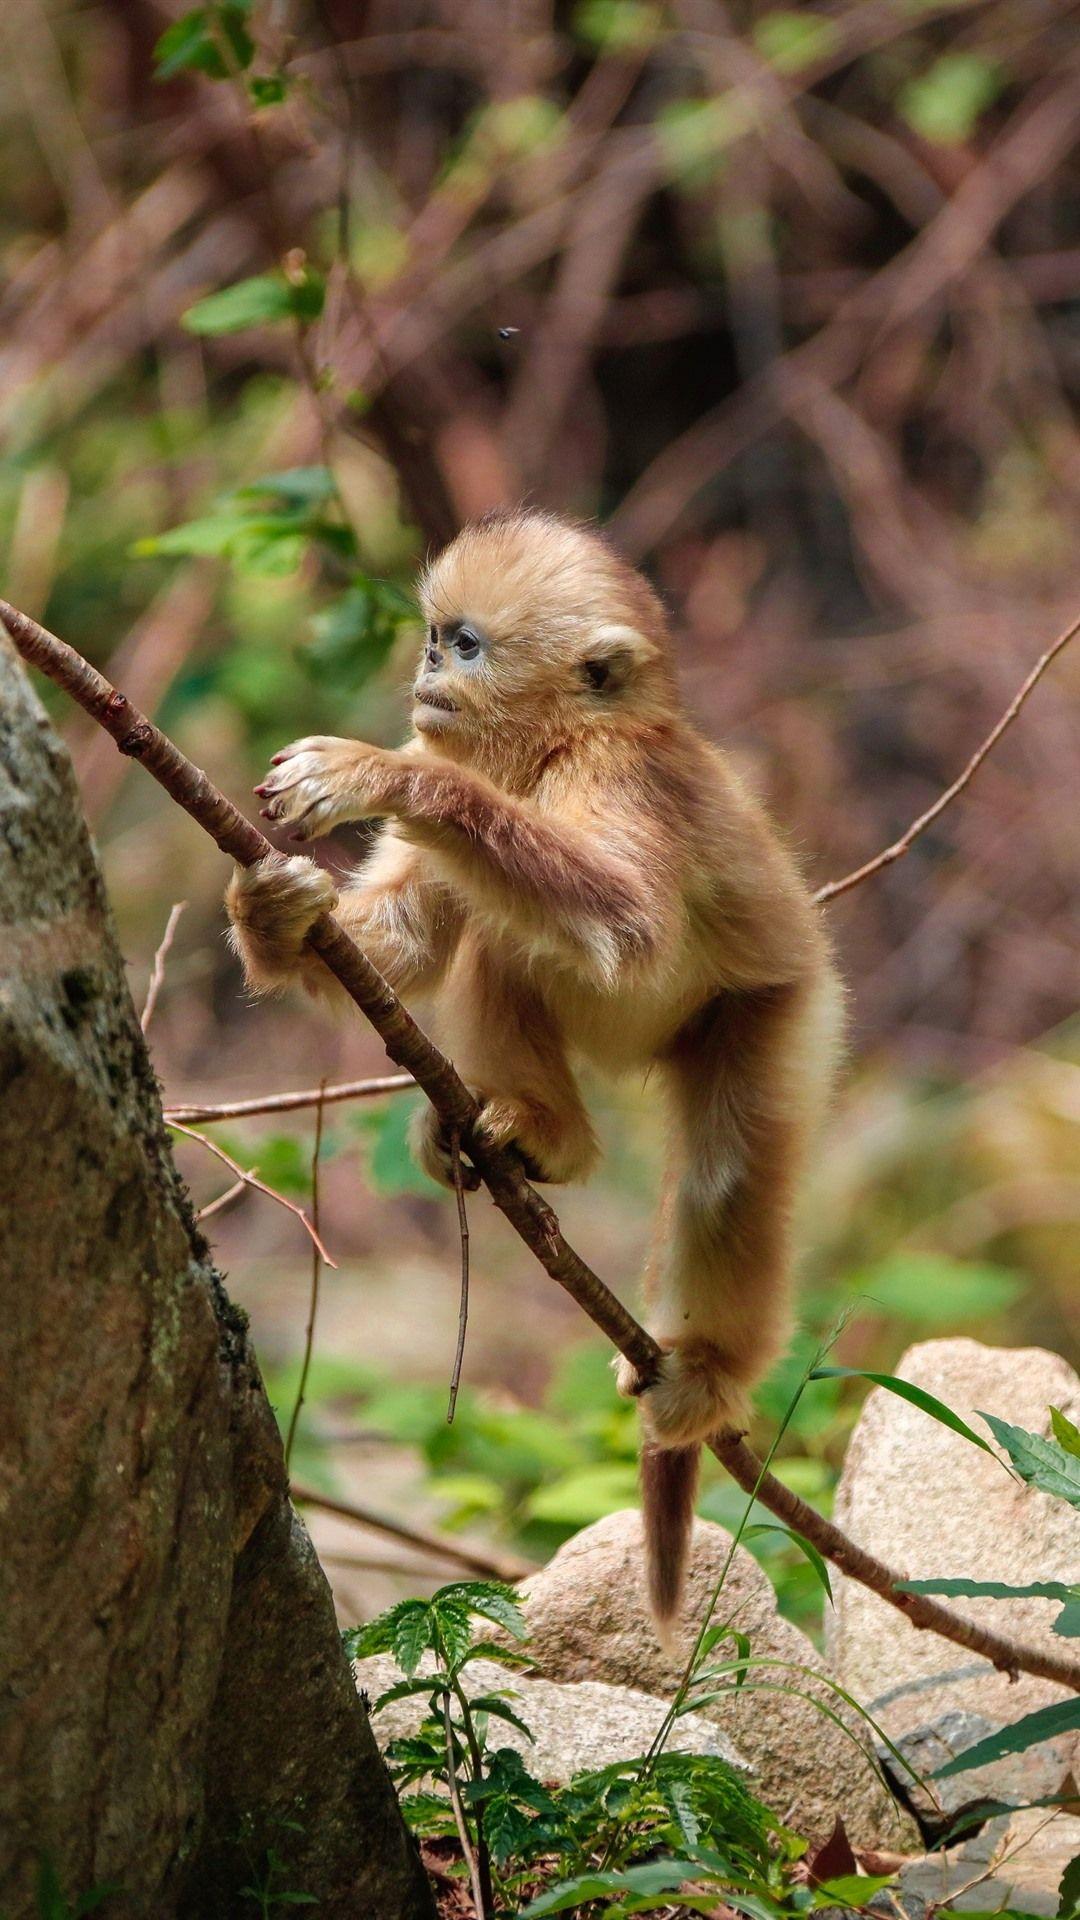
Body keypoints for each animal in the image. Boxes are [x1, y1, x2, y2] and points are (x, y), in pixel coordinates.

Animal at [225, 508, 843, 1630]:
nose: (427, 666)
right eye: (436, 638)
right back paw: (531, 1131)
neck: (555, 748)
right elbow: (413, 940)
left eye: (466, 645)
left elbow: (628, 927)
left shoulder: (622, 776)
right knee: (489, 936)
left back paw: (697, 1361)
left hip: (772, 1014)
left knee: (721, 1173)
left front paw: (385, 778)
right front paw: (274, 908)